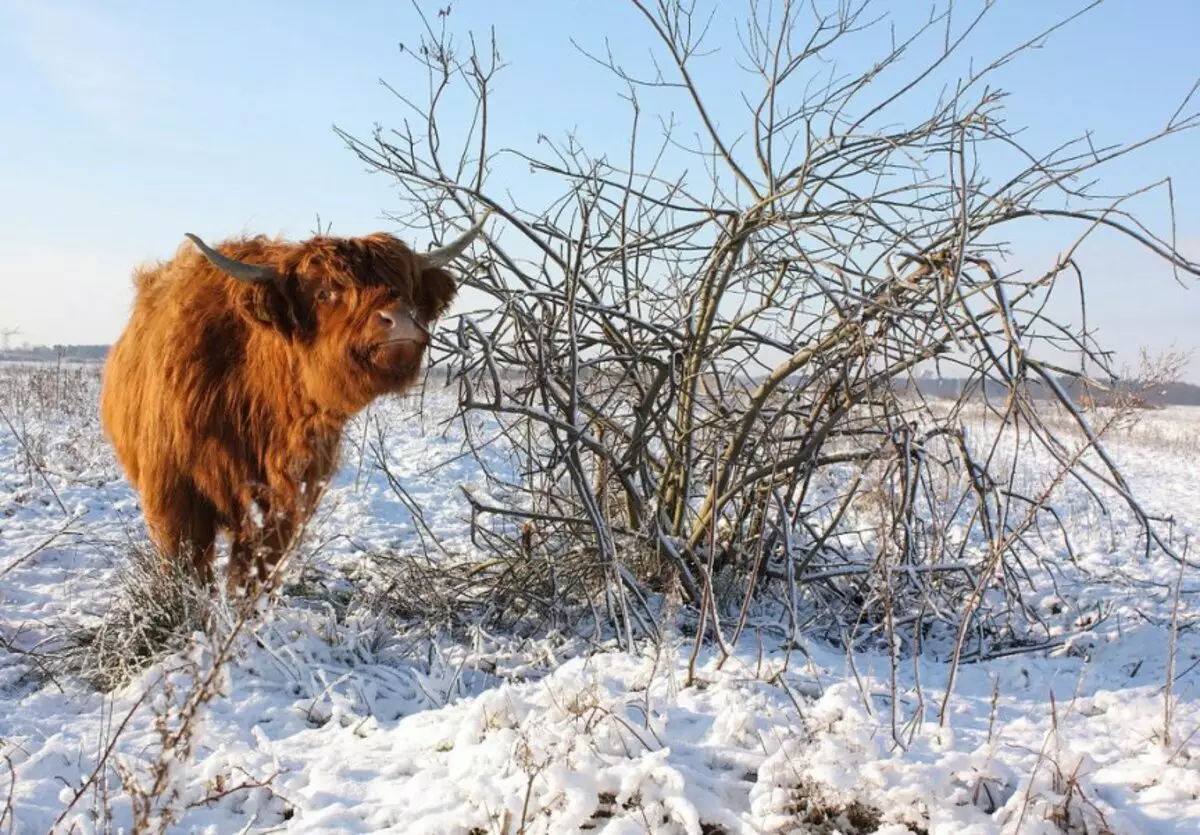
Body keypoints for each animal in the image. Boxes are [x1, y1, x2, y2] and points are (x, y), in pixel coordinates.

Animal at [96, 213, 484, 592]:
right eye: (324, 292)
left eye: (406, 288)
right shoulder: (175, 499)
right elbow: (189, 573)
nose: (402, 320)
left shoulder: (284, 504)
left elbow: (253, 576)